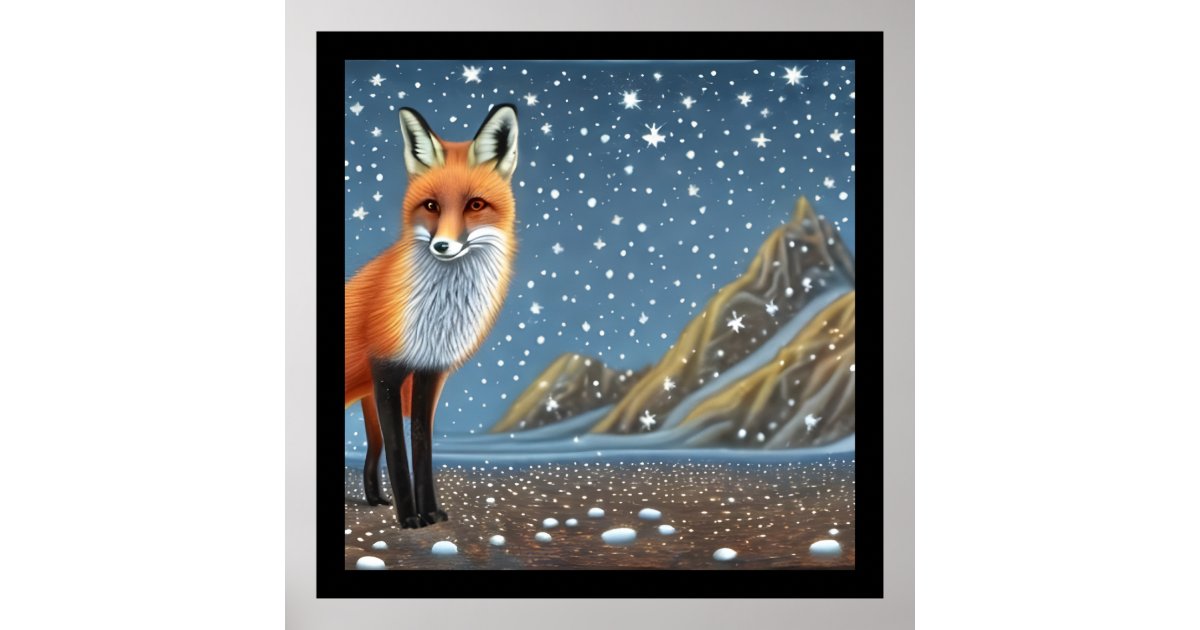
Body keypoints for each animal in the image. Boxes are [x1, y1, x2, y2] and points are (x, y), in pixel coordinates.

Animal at [345, 104, 519, 528]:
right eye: (431, 206)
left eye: (475, 205)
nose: (442, 246)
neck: (438, 318)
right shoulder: (387, 374)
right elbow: (398, 453)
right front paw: (410, 518)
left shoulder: (427, 374)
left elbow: (422, 448)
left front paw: (430, 512)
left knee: (370, 455)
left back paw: (375, 499)